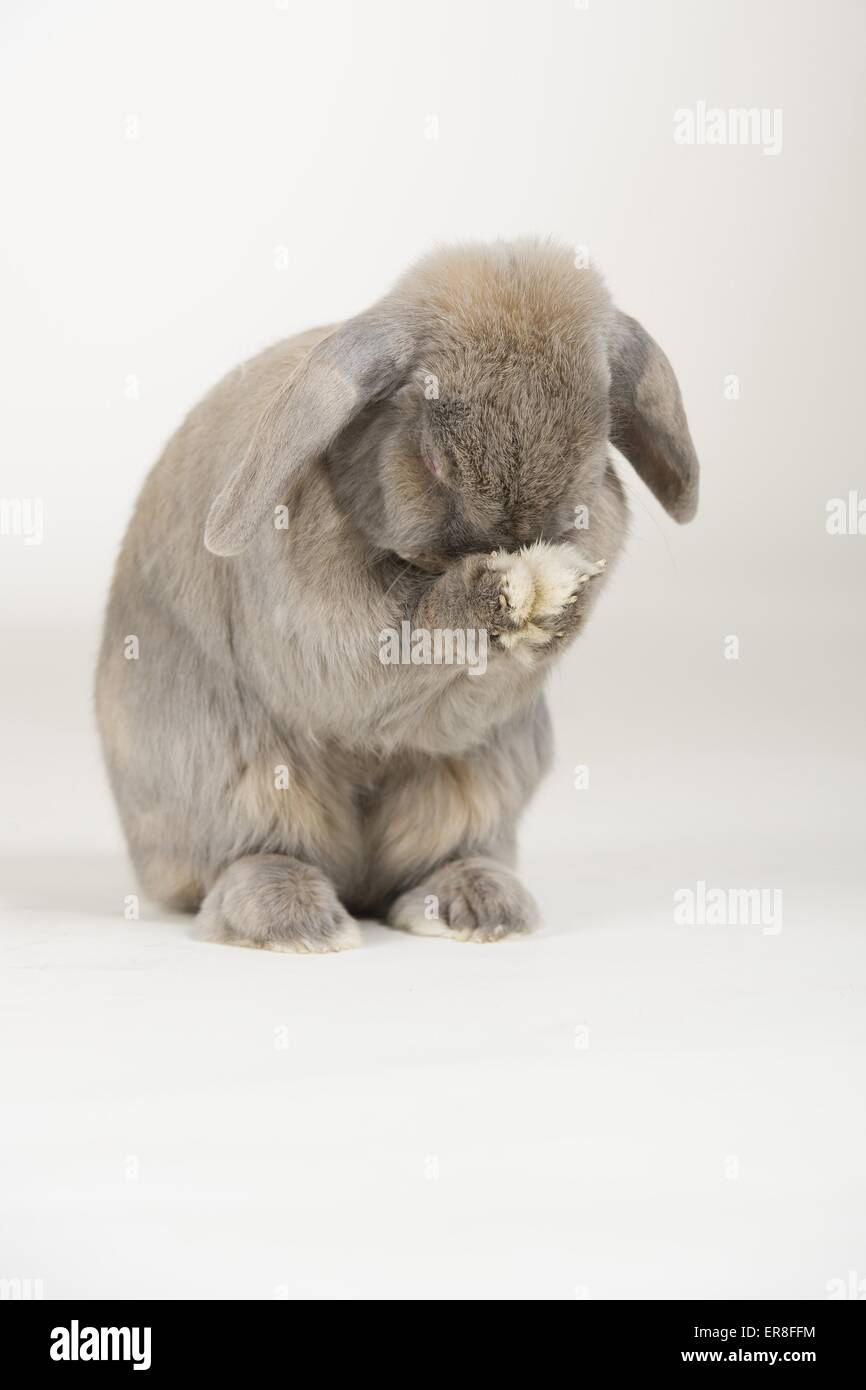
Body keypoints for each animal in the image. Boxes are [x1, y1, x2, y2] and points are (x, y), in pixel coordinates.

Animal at [95, 239, 699, 951]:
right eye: (434, 458)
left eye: (599, 441)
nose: (519, 536)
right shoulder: (319, 632)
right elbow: (371, 661)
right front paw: (492, 596)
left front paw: (558, 603)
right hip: (228, 771)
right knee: (251, 851)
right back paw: (294, 922)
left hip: (484, 776)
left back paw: (476, 906)